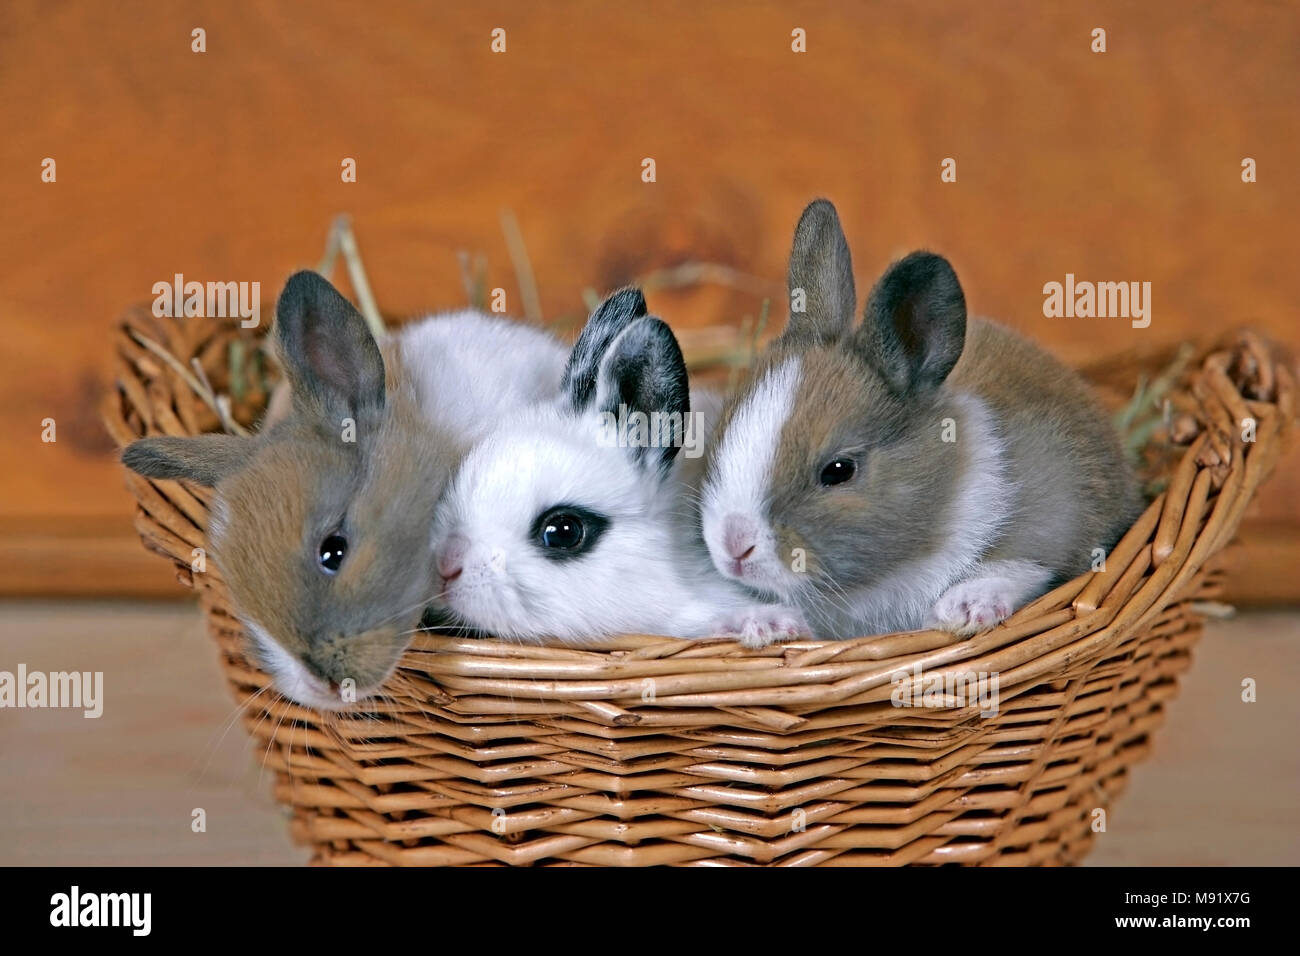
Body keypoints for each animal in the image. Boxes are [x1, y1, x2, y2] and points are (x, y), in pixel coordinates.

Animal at [699, 199, 1143, 644]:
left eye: (839, 470)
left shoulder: (1053, 522)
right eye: (721, 435)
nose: (734, 546)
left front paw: (964, 609)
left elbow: (1018, 565)